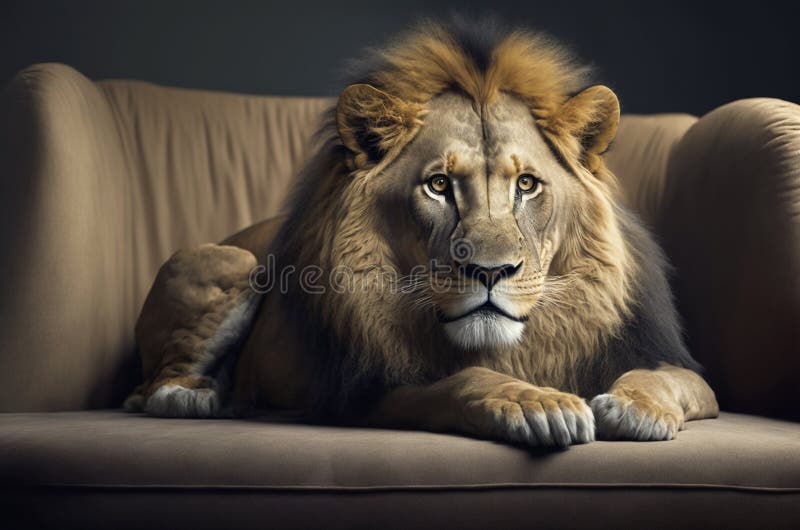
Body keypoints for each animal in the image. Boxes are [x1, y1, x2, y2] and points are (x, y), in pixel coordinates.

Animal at [124, 18, 719, 447]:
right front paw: (538, 404)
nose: (490, 272)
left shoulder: (683, 371)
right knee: (149, 388)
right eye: (438, 185)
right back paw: (197, 396)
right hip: (236, 264)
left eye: (527, 184)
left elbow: (665, 378)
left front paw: (635, 408)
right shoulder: (371, 394)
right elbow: (464, 380)